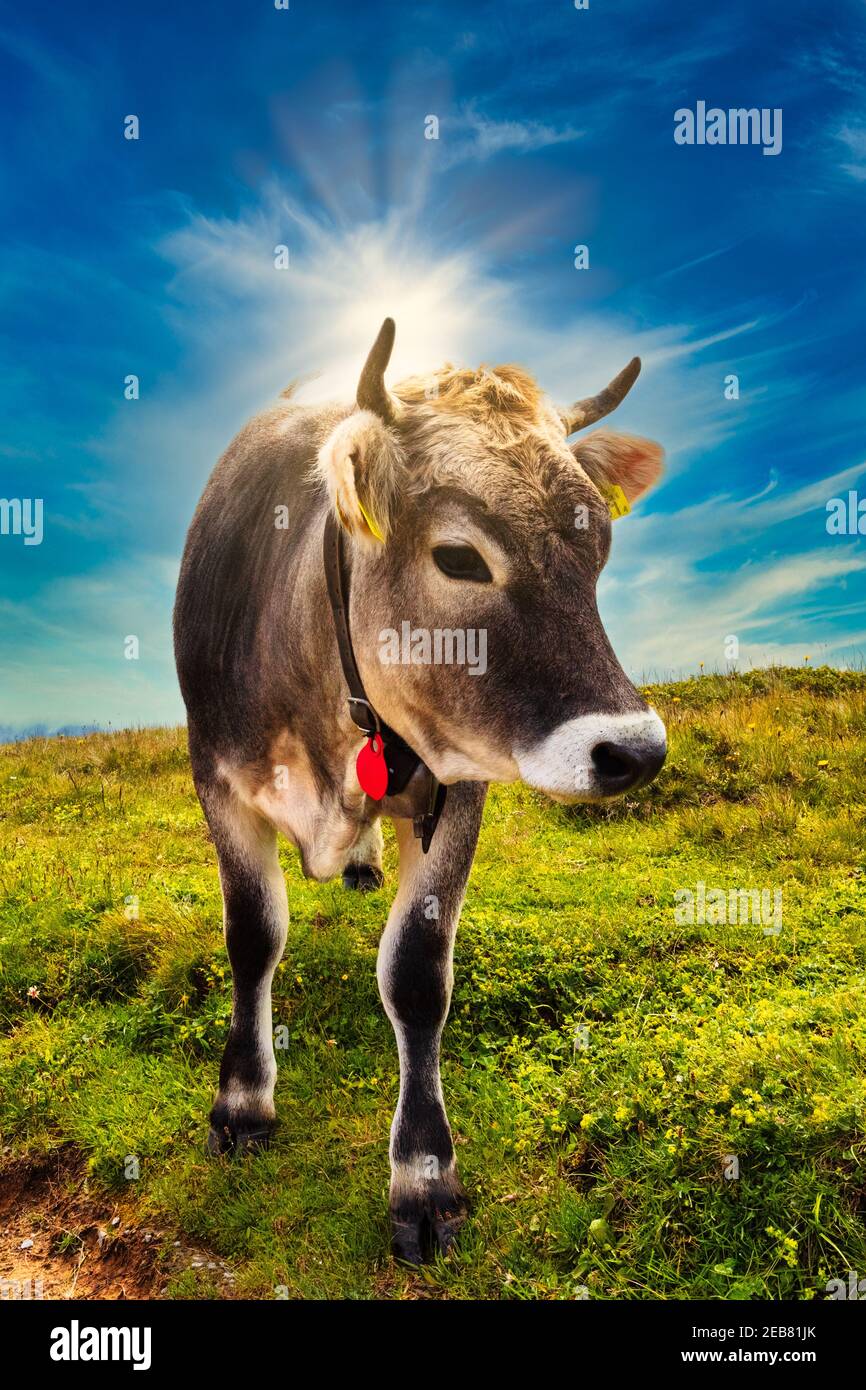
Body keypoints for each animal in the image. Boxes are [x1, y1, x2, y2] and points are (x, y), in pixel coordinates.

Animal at [173, 318, 667, 1264]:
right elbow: (253, 937)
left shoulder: (458, 788)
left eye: (598, 551)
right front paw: (243, 1101)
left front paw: (424, 1176)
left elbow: (416, 974)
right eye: (459, 557)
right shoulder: (217, 775)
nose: (634, 750)